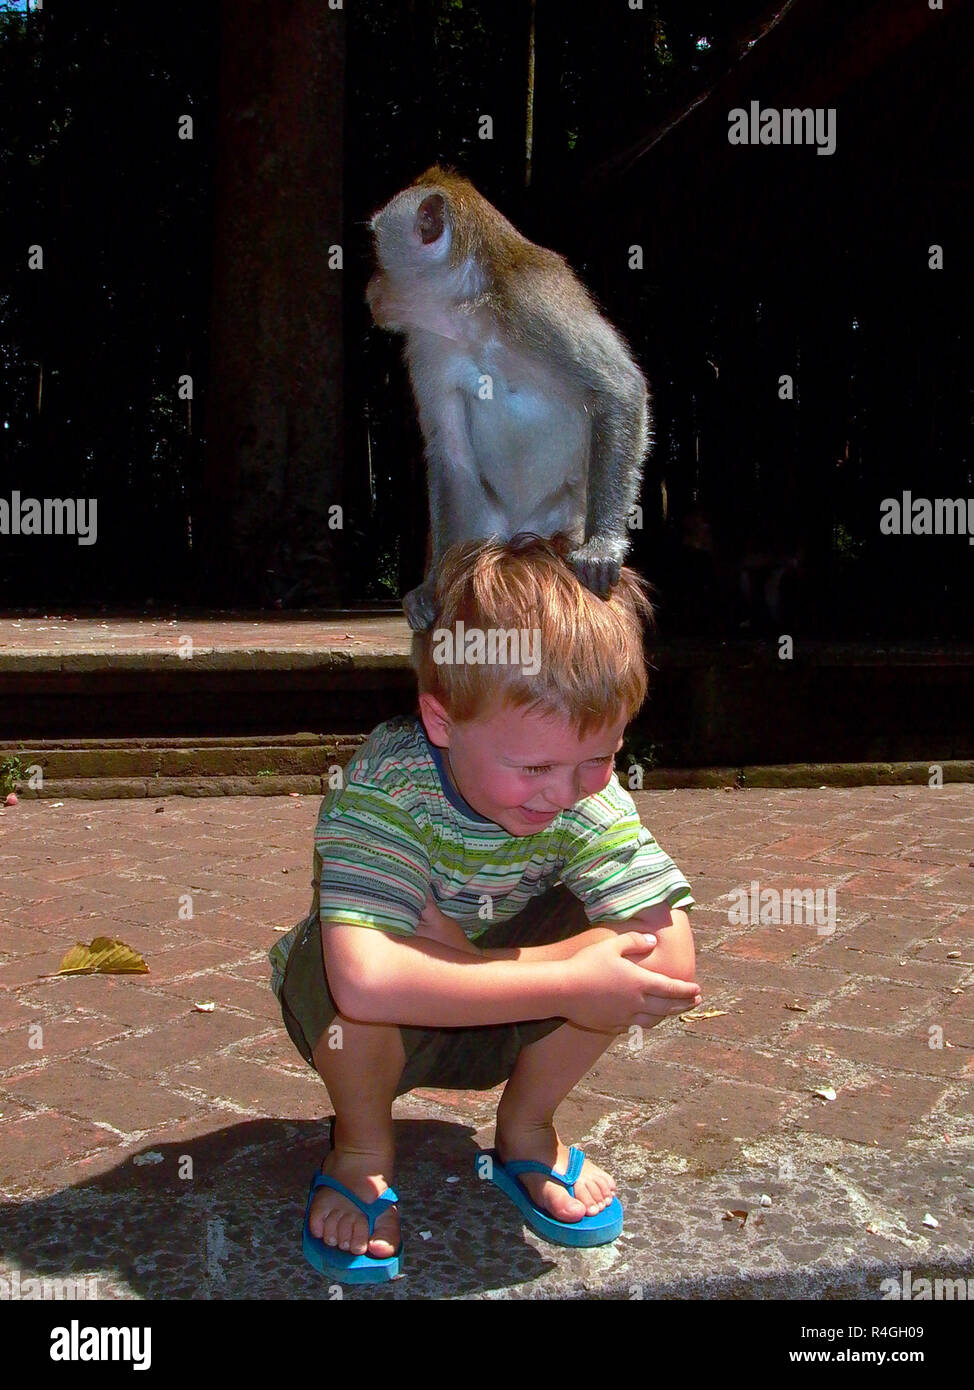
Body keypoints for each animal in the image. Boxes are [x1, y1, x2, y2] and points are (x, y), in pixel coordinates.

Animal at [366, 166, 650, 632]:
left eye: (376, 252)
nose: (372, 286)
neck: (467, 309)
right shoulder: (427, 346)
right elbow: (451, 453)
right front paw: (433, 585)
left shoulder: (532, 301)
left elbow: (619, 387)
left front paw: (602, 545)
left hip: (561, 515)